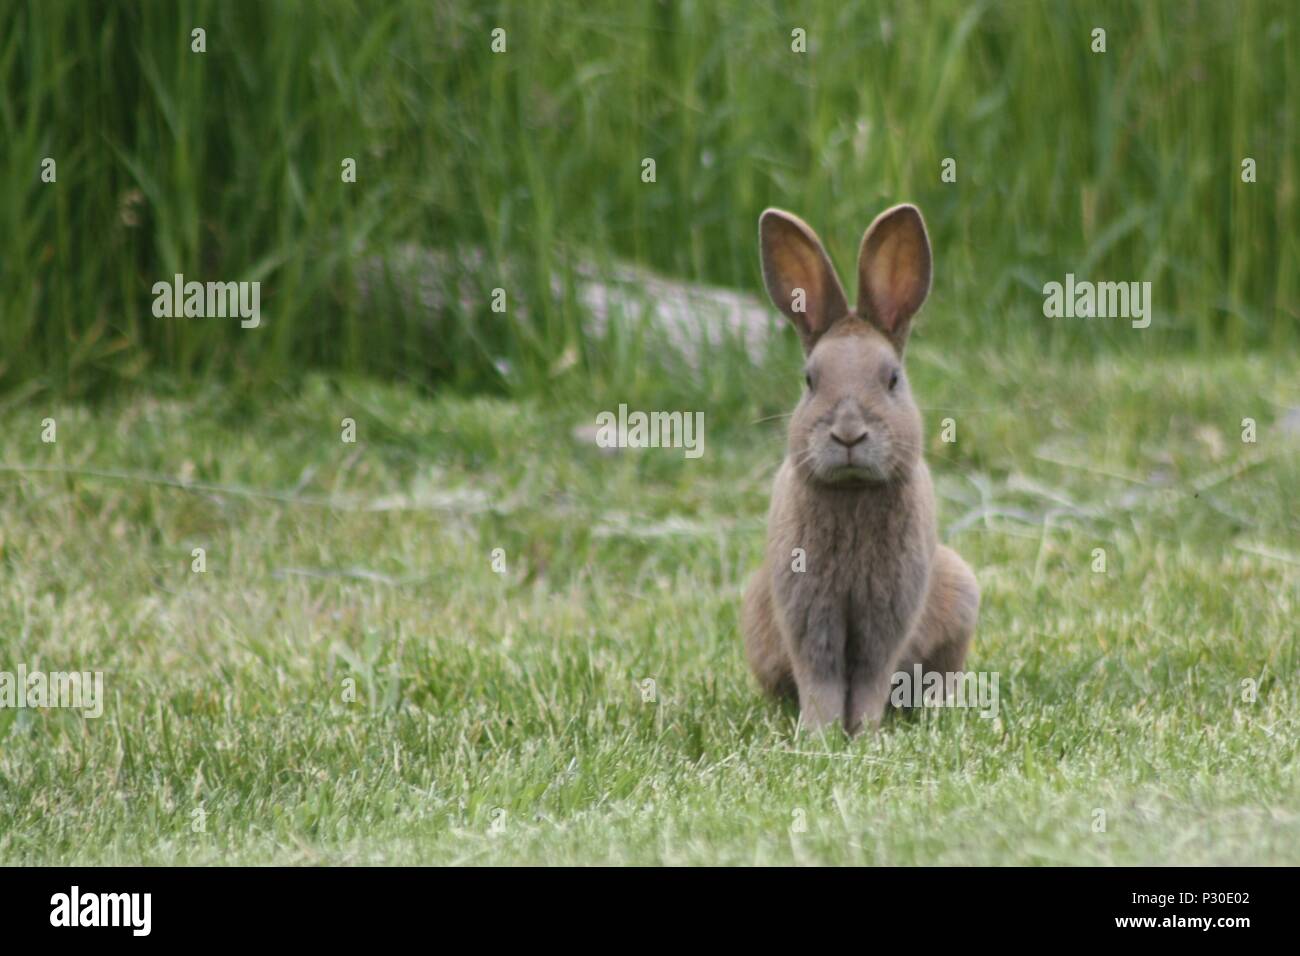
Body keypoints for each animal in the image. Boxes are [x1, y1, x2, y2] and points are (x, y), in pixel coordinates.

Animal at [742, 204, 979, 735]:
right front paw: (820, 736)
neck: (852, 492)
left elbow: (870, 676)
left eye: (892, 379)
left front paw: (864, 734)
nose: (848, 434)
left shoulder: (885, 616)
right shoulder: (811, 612)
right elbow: (821, 677)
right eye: (810, 381)